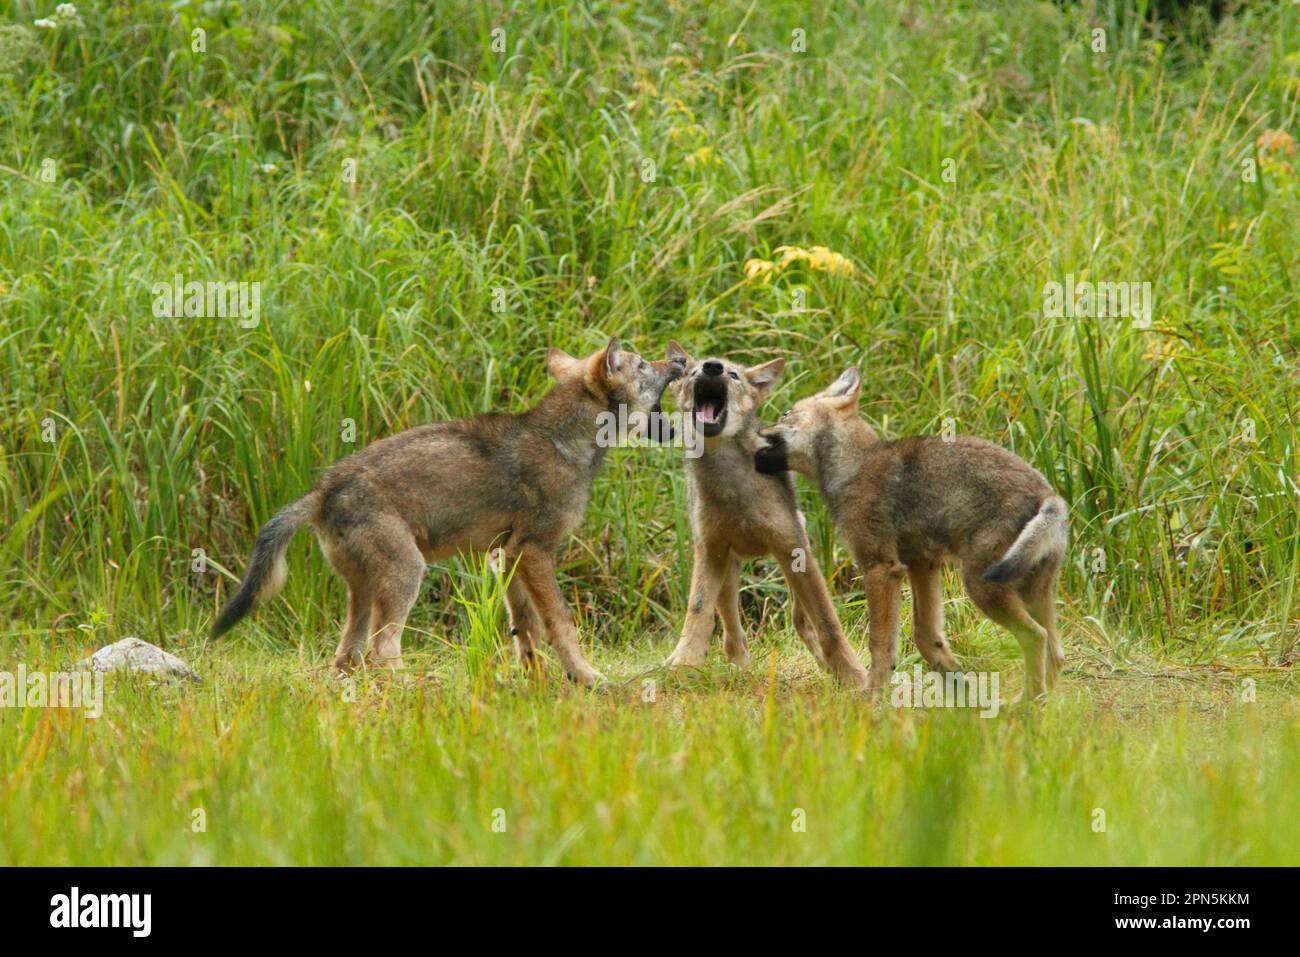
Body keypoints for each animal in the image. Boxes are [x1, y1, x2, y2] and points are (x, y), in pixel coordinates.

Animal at [210, 337, 683, 684]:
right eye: (644, 365)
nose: (680, 358)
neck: (566, 442)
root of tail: (323, 489)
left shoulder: (505, 557)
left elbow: (525, 630)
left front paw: (534, 681)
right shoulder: (534, 550)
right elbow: (561, 624)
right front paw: (588, 678)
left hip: (364, 592)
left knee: (347, 657)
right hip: (408, 574)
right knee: (383, 648)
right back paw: (410, 688)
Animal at [661, 343, 870, 689]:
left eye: (733, 375)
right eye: (692, 373)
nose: (712, 367)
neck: (731, 483)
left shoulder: (792, 549)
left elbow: (829, 623)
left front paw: (855, 675)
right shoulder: (709, 550)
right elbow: (699, 611)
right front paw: (683, 662)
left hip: (794, 560)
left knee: (801, 619)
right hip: (728, 568)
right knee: (732, 629)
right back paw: (740, 667)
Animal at [754, 367, 1068, 701]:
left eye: (785, 414)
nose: (756, 429)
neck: (851, 467)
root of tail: (1050, 496)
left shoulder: (881, 568)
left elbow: (880, 646)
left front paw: (871, 698)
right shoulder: (922, 565)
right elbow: (926, 637)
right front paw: (959, 685)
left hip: (982, 586)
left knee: (1037, 637)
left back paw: (1023, 704)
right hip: (1030, 592)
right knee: (1056, 652)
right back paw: (1043, 704)